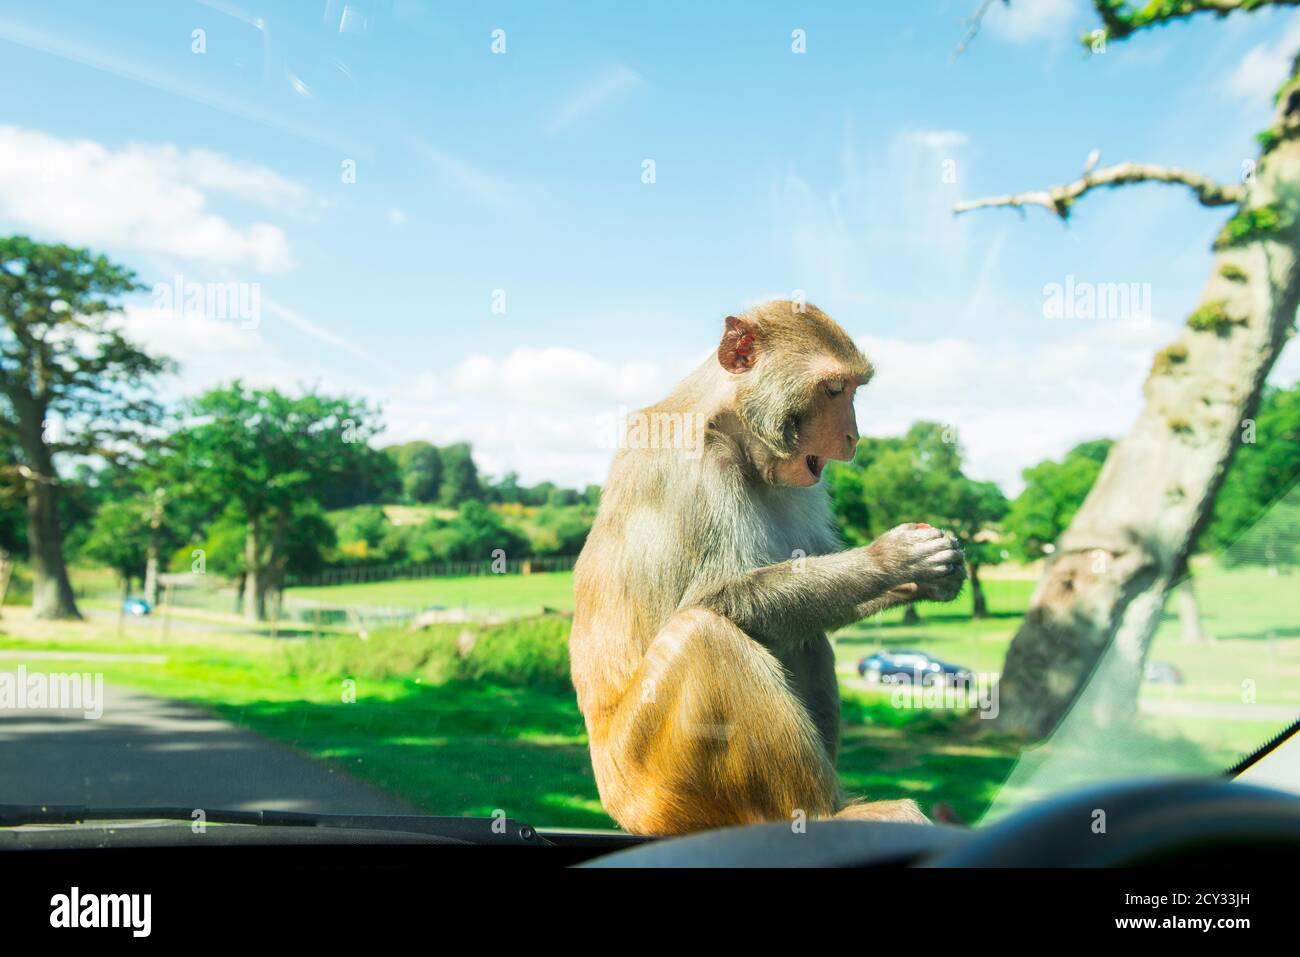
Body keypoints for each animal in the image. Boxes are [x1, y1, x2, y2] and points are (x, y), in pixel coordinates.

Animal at [570, 299, 966, 836]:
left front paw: (930, 575)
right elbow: (715, 598)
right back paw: (820, 813)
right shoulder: (699, 464)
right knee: (704, 634)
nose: (854, 437)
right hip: (652, 779)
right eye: (834, 389)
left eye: (853, 389)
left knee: (802, 633)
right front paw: (894, 558)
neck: (731, 431)